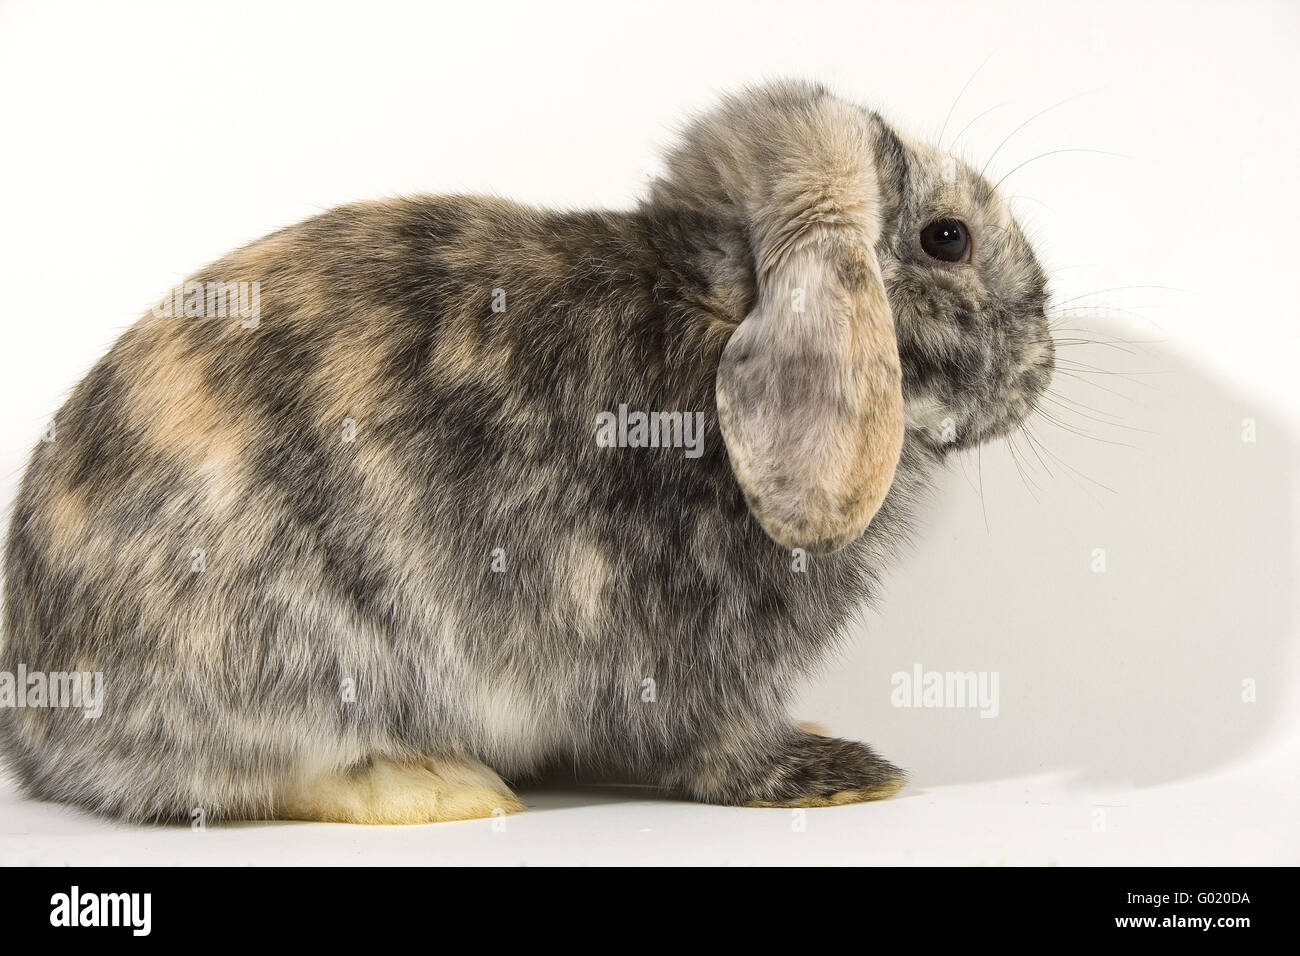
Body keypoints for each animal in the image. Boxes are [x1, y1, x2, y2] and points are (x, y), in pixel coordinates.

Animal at [0, 80, 1054, 824]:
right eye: (948, 238)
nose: (1044, 361)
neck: (714, 318)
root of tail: (36, 732)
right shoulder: (693, 657)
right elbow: (716, 743)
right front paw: (838, 773)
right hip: (299, 660)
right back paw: (440, 786)